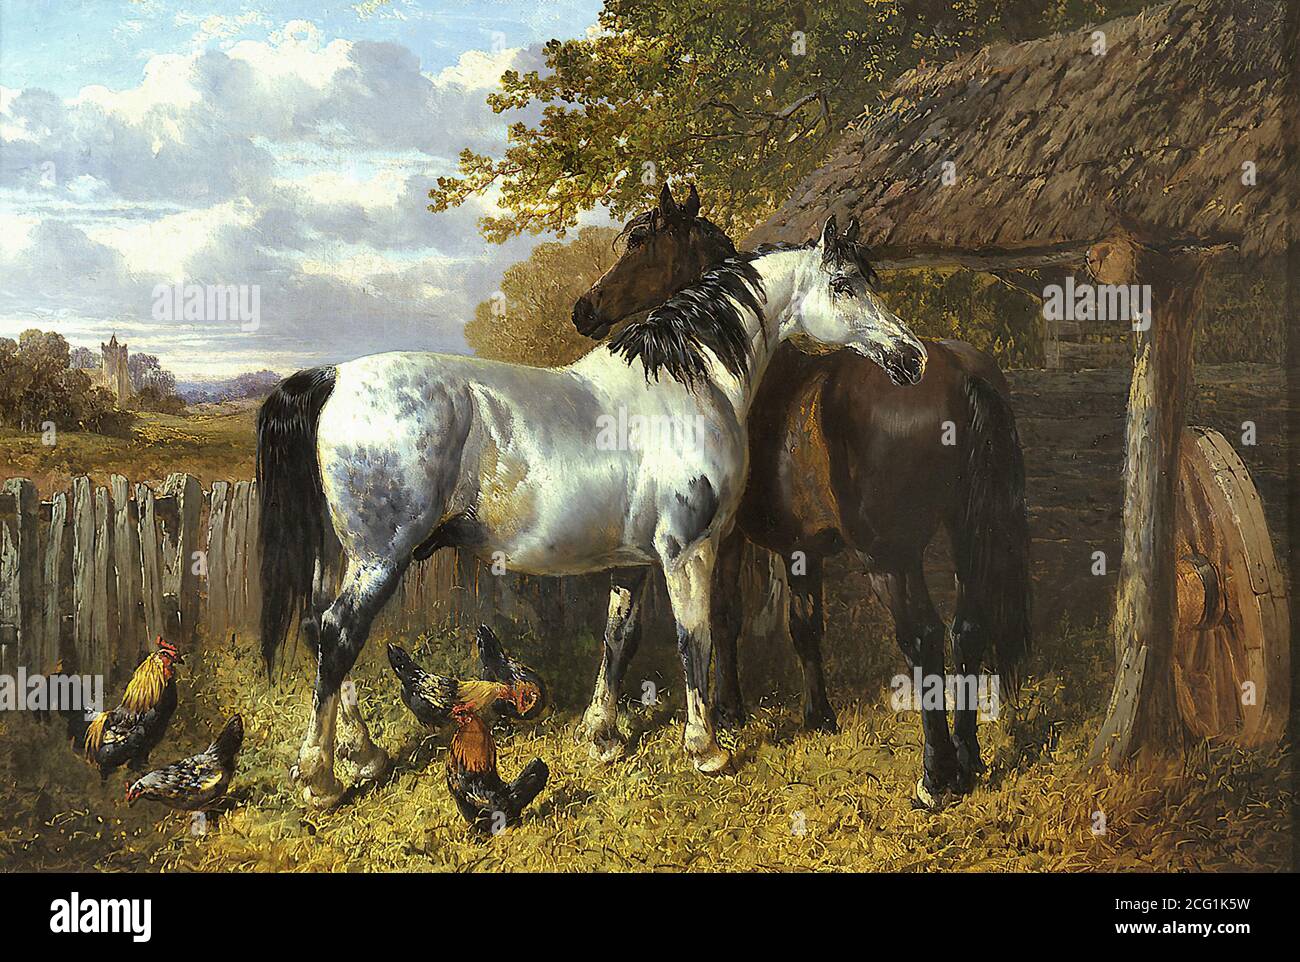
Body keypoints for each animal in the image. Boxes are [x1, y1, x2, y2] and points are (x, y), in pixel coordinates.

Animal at [257, 213, 928, 807]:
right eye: (844, 285)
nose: (912, 357)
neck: (687, 383)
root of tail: (333, 379)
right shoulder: (690, 550)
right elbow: (695, 638)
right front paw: (706, 749)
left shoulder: (634, 558)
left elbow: (619, 637)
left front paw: (602, 737)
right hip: (382, 557)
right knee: (339, 633)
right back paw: (321, 779)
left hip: (344, 556)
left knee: (322, 629)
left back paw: (363, 756)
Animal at [571, 185, 1030, 804]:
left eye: (640, 241)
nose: (585, 309)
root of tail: (960, 371)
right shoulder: (802, 549)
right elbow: (804, 627)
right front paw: (818, 716)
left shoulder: (729, 539)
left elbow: (723, 618)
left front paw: (728, 713)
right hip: (966, 534)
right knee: (969, 627)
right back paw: (970, 759)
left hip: (891, 558)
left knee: (925, 637)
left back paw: (936, 777)